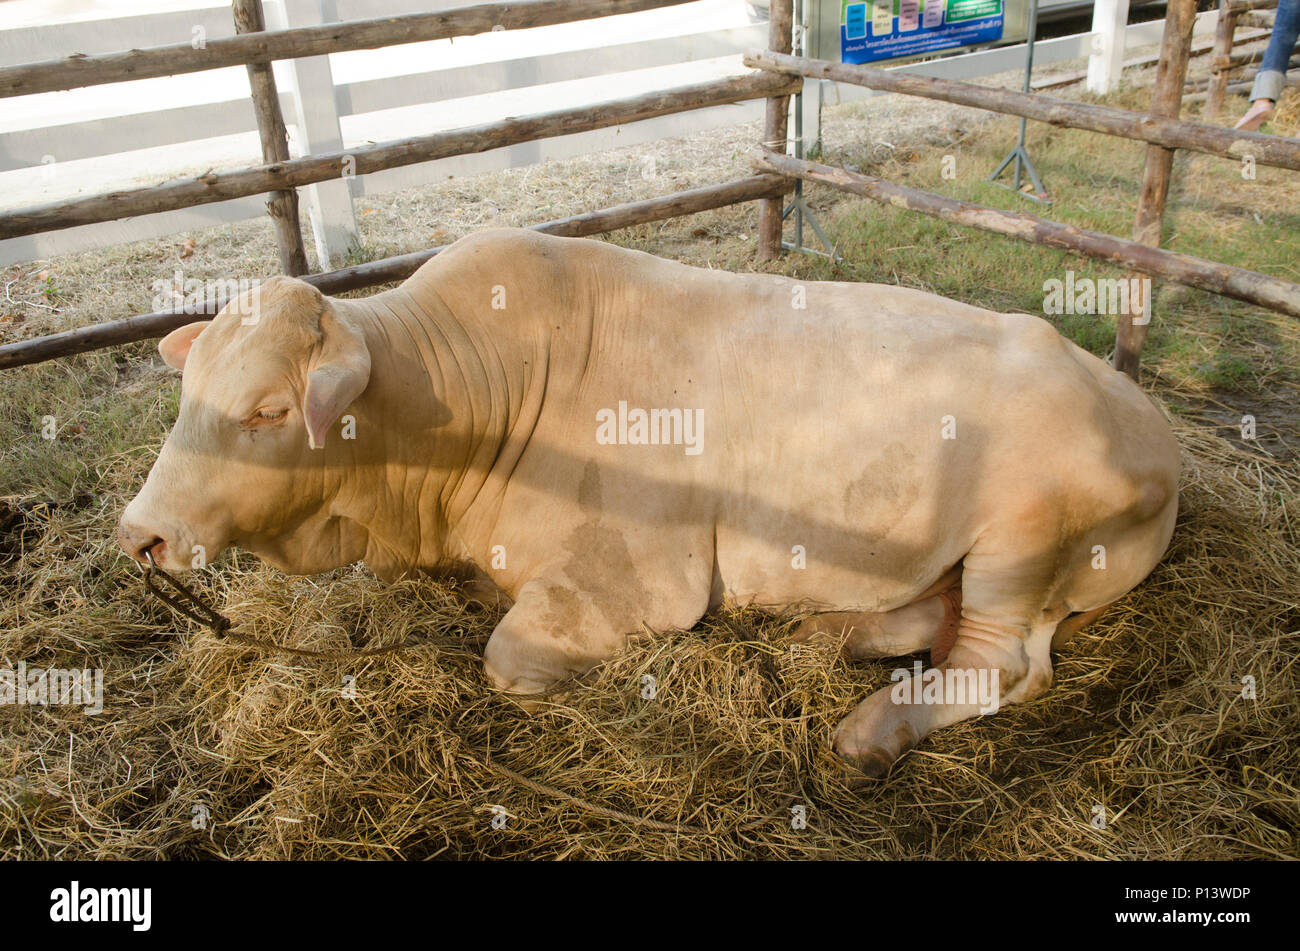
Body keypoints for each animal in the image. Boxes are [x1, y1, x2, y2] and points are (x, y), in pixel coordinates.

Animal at [118, 228, 1180, 777]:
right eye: (186, 390)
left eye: (267, 410)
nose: (141, 533)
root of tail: (1147, 419)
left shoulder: (644, 578)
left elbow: (510, 660)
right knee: (932, 615)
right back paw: (823, 635)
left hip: (1024, 537)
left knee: (1001, 666)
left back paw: (871, 728)